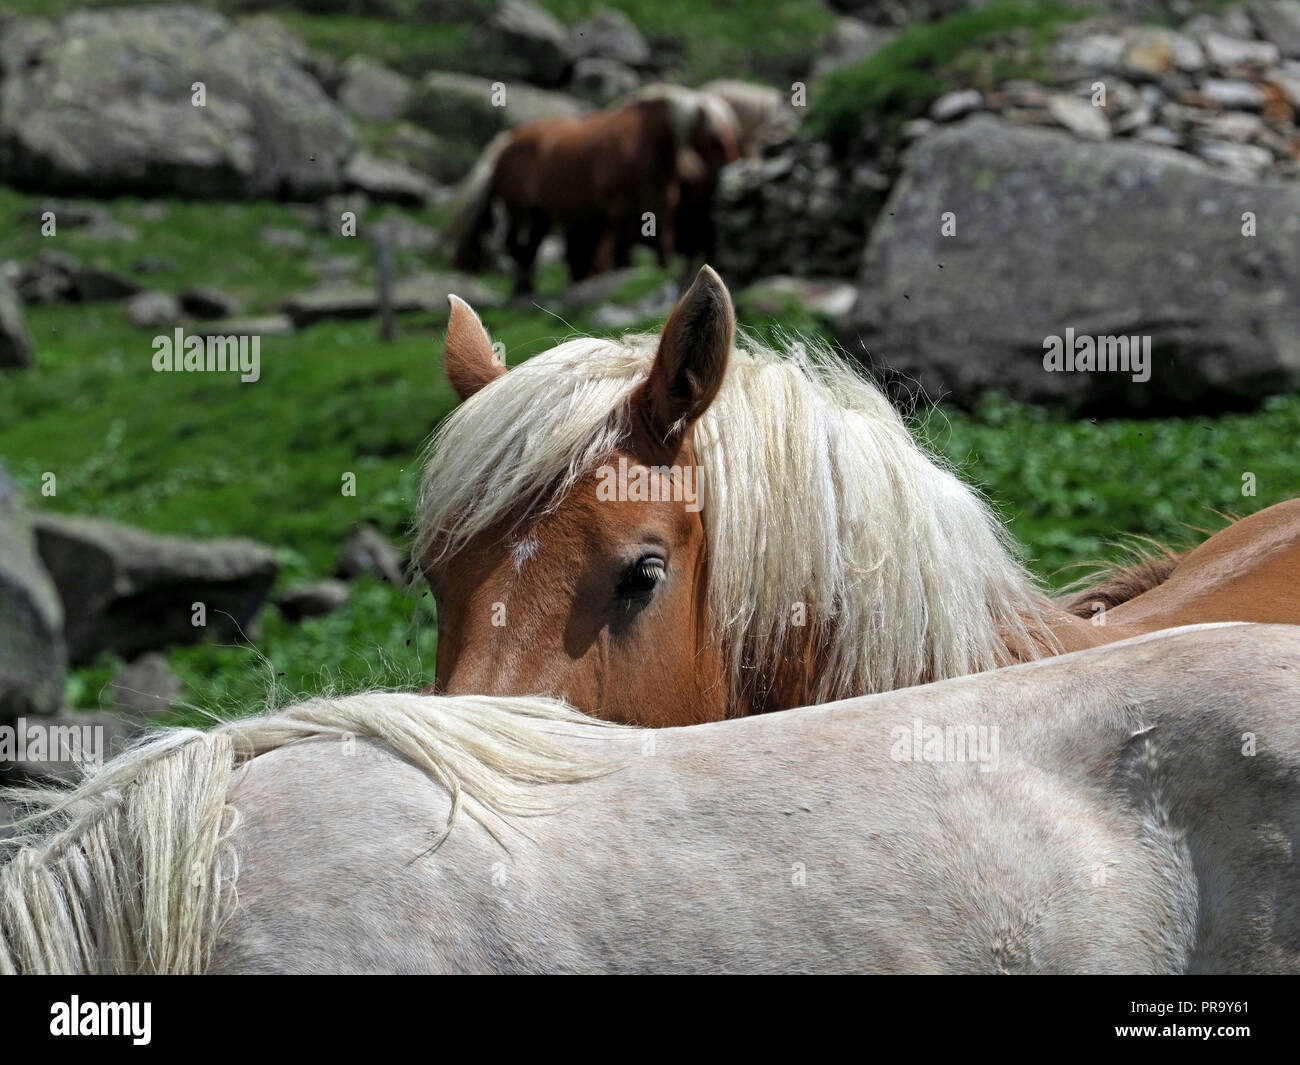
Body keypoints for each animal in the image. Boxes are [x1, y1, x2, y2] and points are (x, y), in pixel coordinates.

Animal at [446, 90, 738, 296]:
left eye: (730, 134)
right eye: (714, 138)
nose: (731, 170)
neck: (645, 143)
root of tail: (506, 142)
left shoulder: (661, 207)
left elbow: (663, 247)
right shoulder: (619, 209)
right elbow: (622, 251)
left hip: (541, 215)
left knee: (529, 249)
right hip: (518, 209)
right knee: (513, 245)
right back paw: (523, 287)